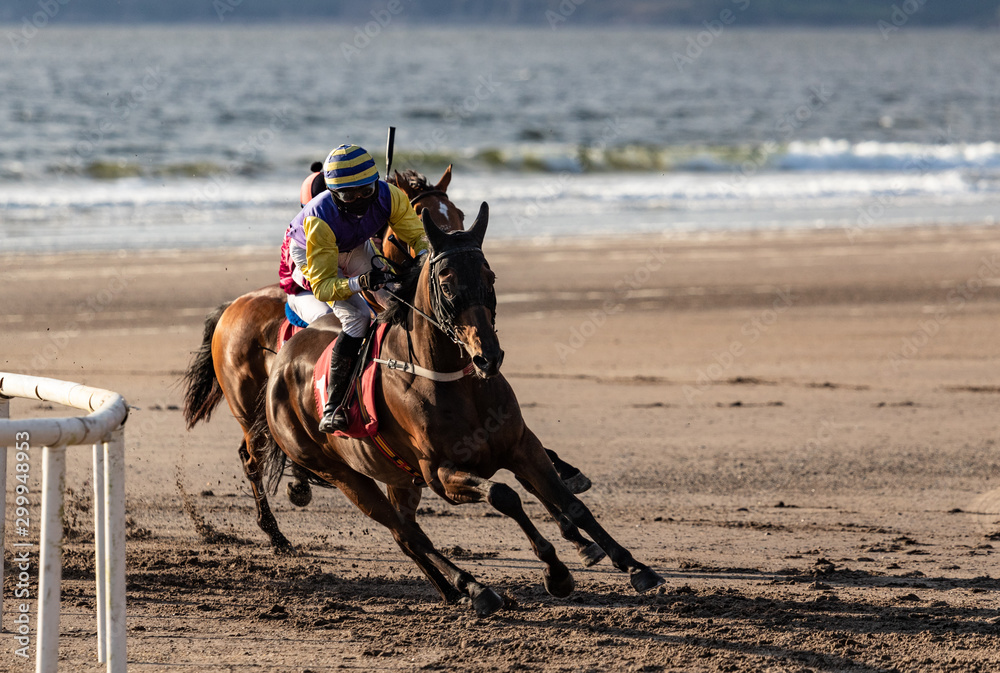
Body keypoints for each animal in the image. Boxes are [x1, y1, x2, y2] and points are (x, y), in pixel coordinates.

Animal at [259, 204, 664, 616]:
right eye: (447, 283)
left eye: (490, 275)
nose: (489, 357)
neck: (455, 381)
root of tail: (281, 359)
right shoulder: (441, 473)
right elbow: (503, 494)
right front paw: (556, 573)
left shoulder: (522, 446)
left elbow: (570, 501)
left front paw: (634, 566)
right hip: (342, 474)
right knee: (409, 534)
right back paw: (474, 588)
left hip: (397, 477)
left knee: (406, 533)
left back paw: (450, 590)